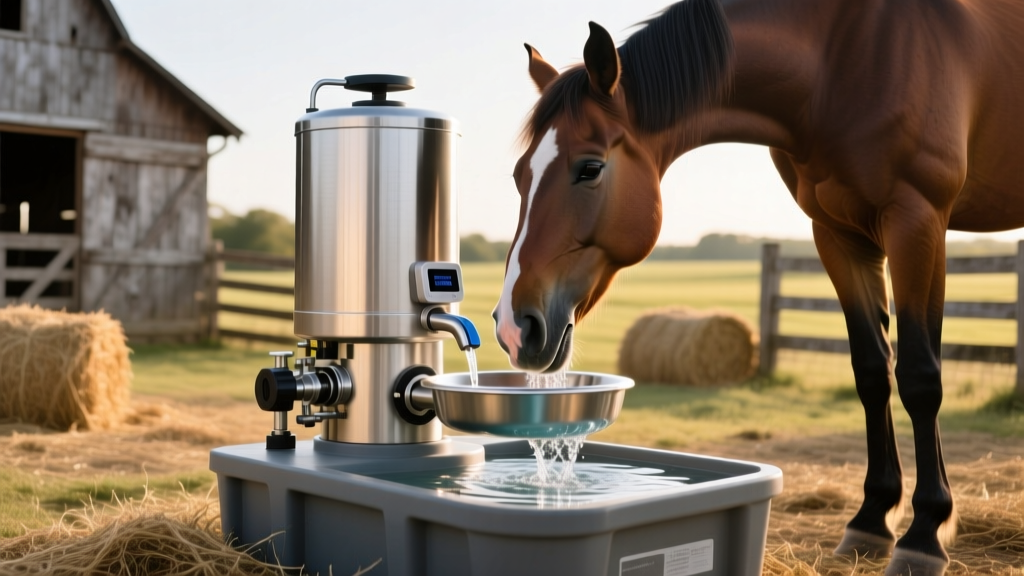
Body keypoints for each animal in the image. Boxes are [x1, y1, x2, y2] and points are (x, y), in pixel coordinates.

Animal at [491, 0, 1024, 573]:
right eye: (520, 175)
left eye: (589, 168)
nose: (514, 326)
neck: (845, 62)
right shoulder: (837, 234)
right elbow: (871, 372)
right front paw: (871, 520)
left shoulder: (918, 219)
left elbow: (921, 378)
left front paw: (925, 533)